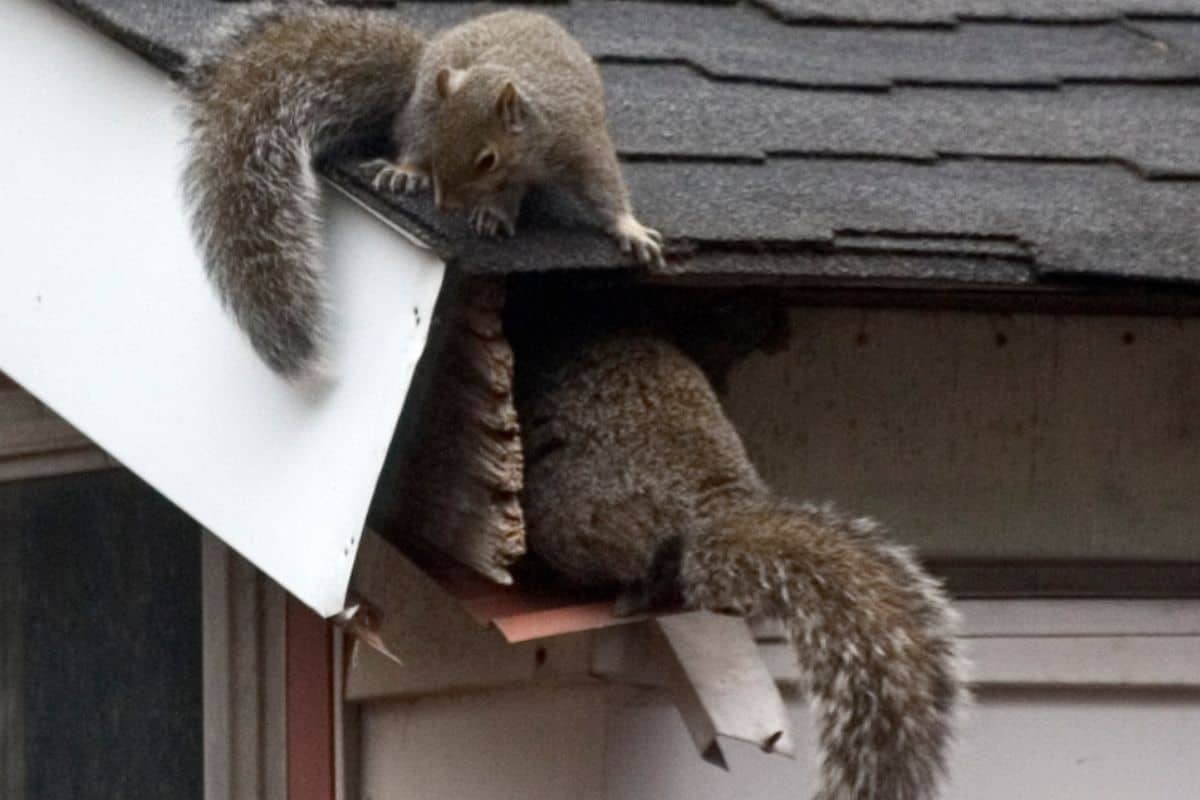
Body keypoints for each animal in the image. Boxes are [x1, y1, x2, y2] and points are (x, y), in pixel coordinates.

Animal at [182, 4, 661, 382]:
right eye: (440, 141)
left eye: (486, 158)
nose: (444, 203)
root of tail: (422, 62)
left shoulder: (577, 139)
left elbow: (603, 184)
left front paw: (630, 229)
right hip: (423, 101)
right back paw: (407, 172)